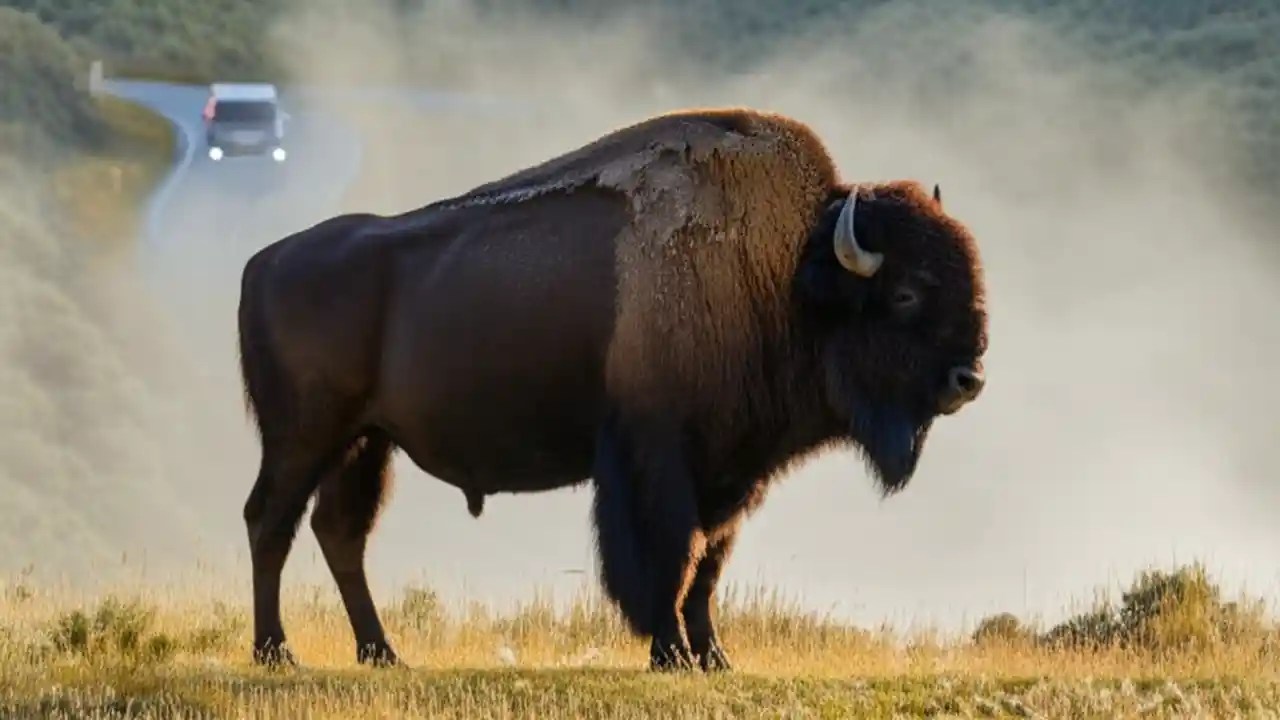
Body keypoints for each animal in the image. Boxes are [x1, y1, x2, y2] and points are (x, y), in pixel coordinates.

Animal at [236, 107, 989, 672]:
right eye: (905, 292)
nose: (969, 379)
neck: (785, 273)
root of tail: (263, 261)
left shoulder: (731, 473)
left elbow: (708, 564)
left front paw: (714, 658)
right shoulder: (658, 456)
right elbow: (672, 557)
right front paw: (671, 654)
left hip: (364, 443)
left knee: (340, 533)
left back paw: (382, 653)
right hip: (303, 436)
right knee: (270, 521)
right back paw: (277, 652)